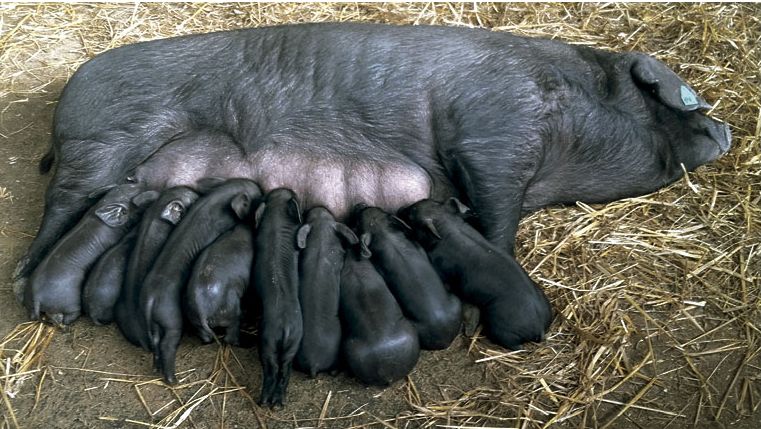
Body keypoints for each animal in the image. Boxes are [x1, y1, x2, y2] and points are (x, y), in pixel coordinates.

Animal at [17, 23, 731, 301]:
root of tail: (67, 97)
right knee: (57, 213)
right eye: (676, 104)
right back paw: (26, 279)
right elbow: (496, 218)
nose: (725, 127)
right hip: (98, 142)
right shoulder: (497, 131)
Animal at [141, 178, 261, 384]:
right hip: (173, 319)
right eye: (257, 193)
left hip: (160, 325)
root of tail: (148, 302)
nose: (262, 188)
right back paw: (173, 380)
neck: (222, 196)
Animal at [399, 198, 553, 349]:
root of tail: (539, 327)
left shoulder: (441, 266)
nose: (402, 208)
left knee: (514, 345)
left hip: (504, 329)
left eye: (412, 213)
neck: (446, 224)